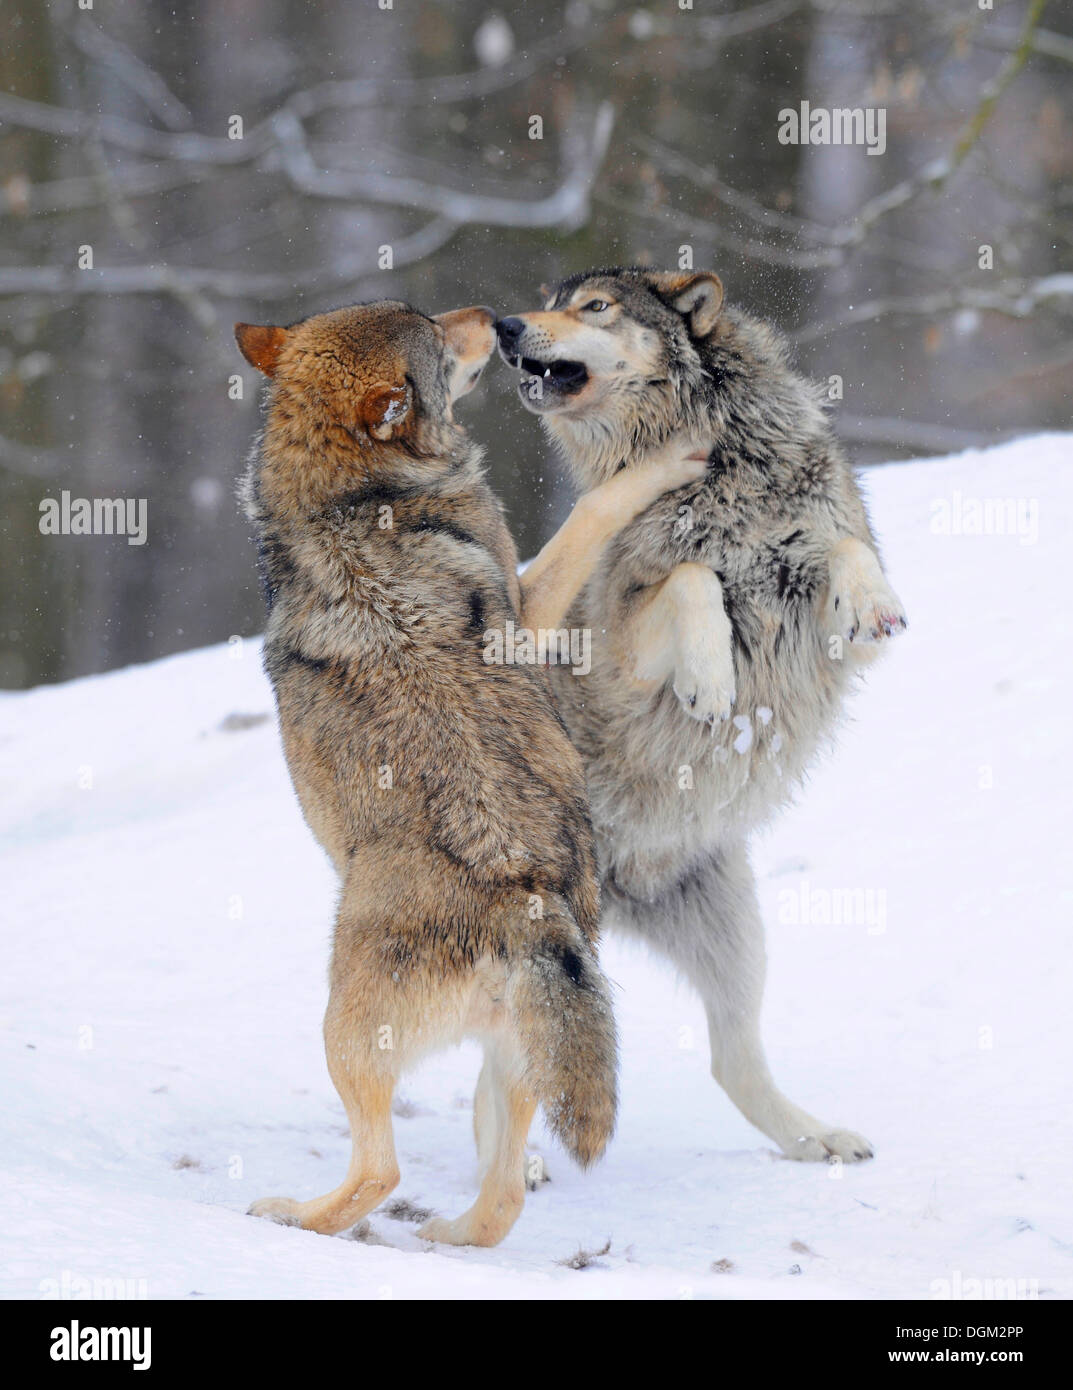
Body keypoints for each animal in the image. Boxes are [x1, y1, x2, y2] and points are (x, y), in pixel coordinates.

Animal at [235, 299, 705, 1244]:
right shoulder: (530, 601)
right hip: (358, 1033)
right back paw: (298, 1218)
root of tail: (525, 903)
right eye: (436, 331)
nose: (494, 317)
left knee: (494, 1196)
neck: (348, 493)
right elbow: (593, 506)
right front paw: (671, 455)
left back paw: (430, 1235)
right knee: (392, 1174)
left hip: (504, 1055)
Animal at [497, 267, 907, 1162]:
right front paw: (712, 681)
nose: (505, 326)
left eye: (593, 307)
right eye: (548, 299)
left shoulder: (833, 642)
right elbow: (690, 580)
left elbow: (846, 548)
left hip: (736, 935)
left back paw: (812, 1139)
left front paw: (876, 602)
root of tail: (614, 896)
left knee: (732, 1060)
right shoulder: (616, 652)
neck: (718, 475)